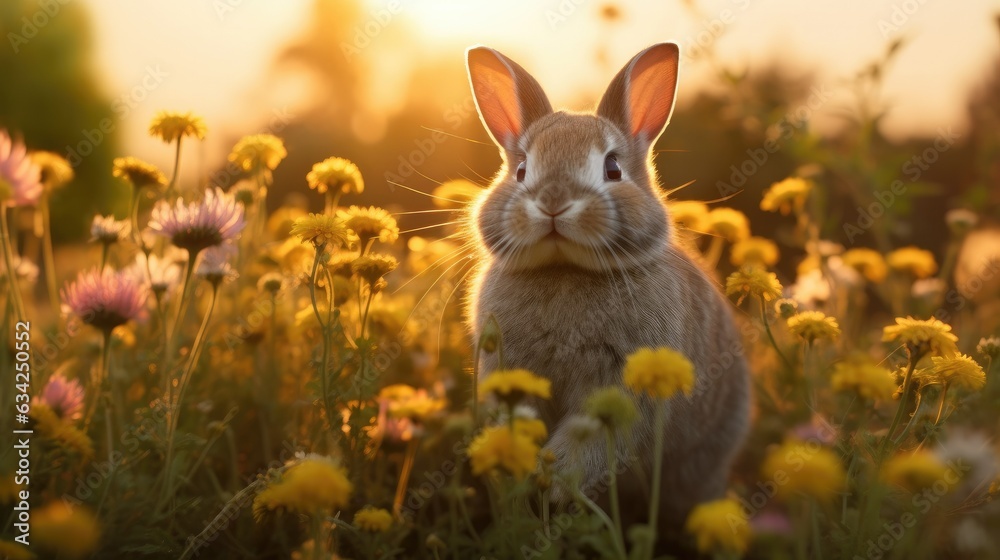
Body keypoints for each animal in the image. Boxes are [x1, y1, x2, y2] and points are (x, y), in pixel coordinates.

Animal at [464, 42, 751, 536]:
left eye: (612, 168)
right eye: (521, 170)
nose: (553, 201)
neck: (565, 270)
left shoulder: (623, 382)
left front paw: (555, 483)